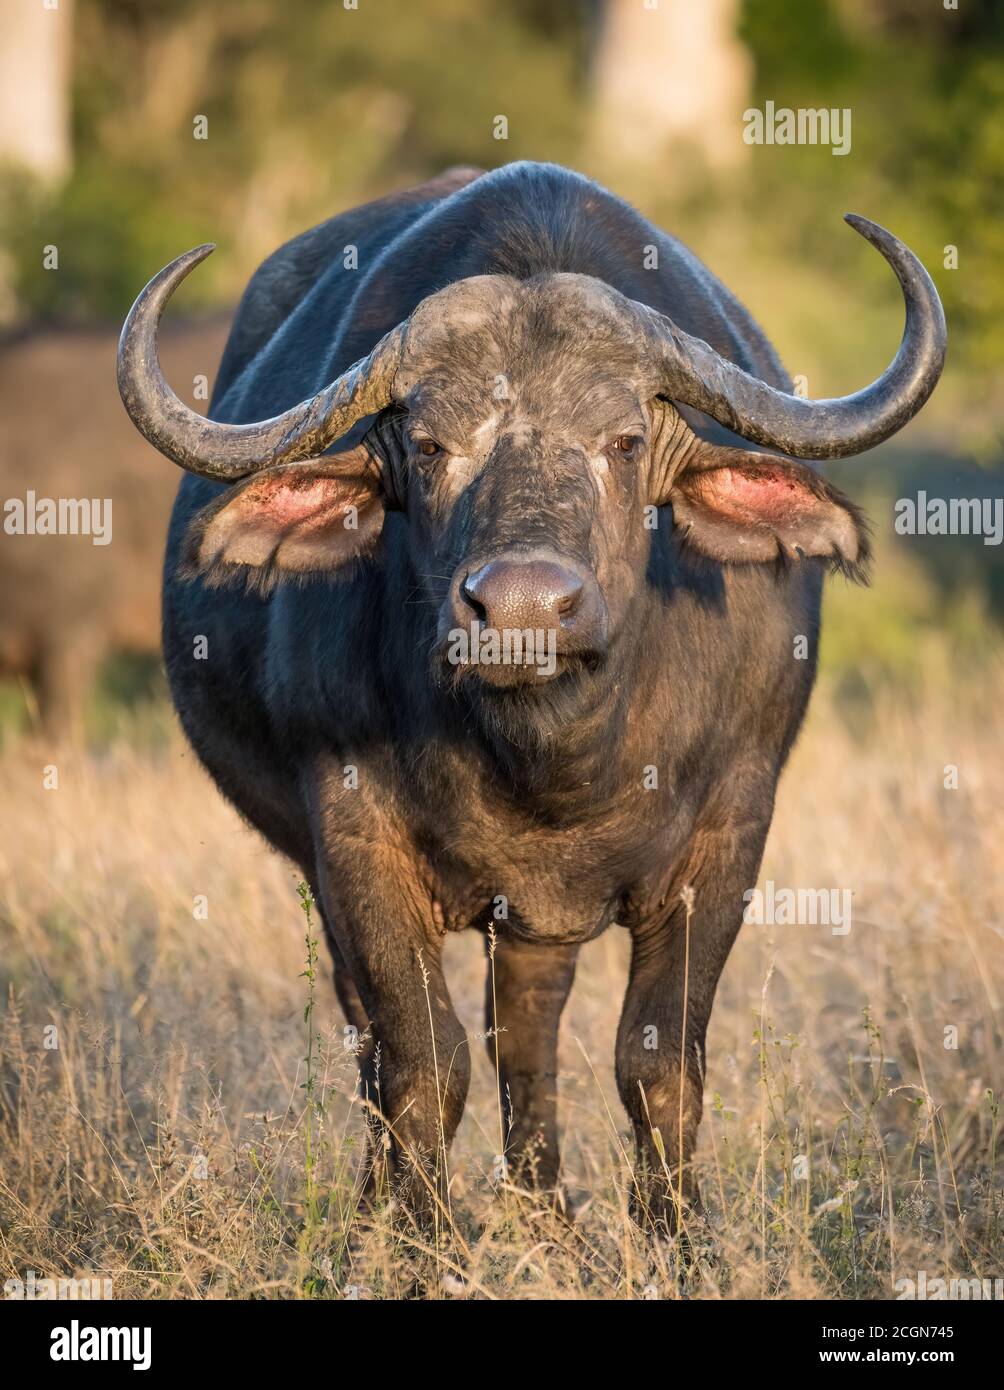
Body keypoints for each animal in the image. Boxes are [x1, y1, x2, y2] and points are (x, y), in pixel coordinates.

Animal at [118, 163, 945, 1230]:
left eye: (624, 441)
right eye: (430, 447)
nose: (521, 608)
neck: (548, 757)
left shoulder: (731, 830)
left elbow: (657, 1060)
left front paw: (676, 1235)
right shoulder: (351, 839)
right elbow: (422, 1061)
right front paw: (416, 1234)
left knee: (527, 1023)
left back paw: (543, 1208)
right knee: (387, 1040)